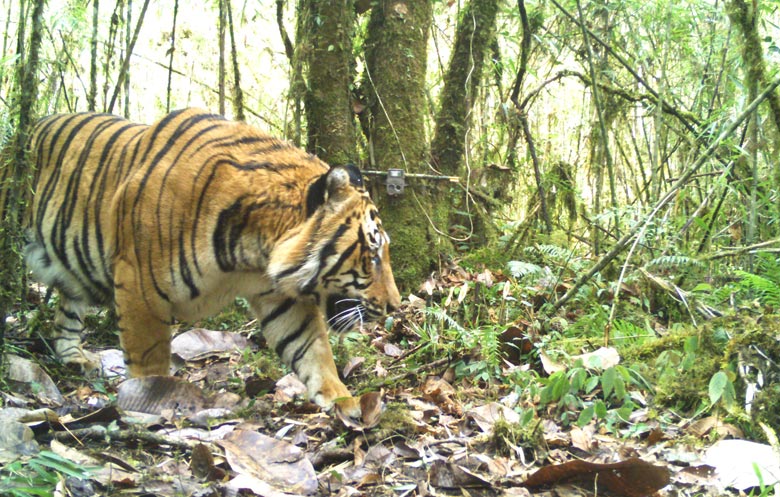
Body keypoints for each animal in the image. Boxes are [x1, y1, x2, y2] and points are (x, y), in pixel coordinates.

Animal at [18, 108, 400, 416]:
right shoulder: (138, 284)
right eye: (372, 253)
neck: (253, 254)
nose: (395, 307)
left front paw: (343, 401)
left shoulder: (280, 298)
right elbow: (149, 357)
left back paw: (74, 358)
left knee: (68, 311)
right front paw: (148, 401)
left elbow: (313, 351)